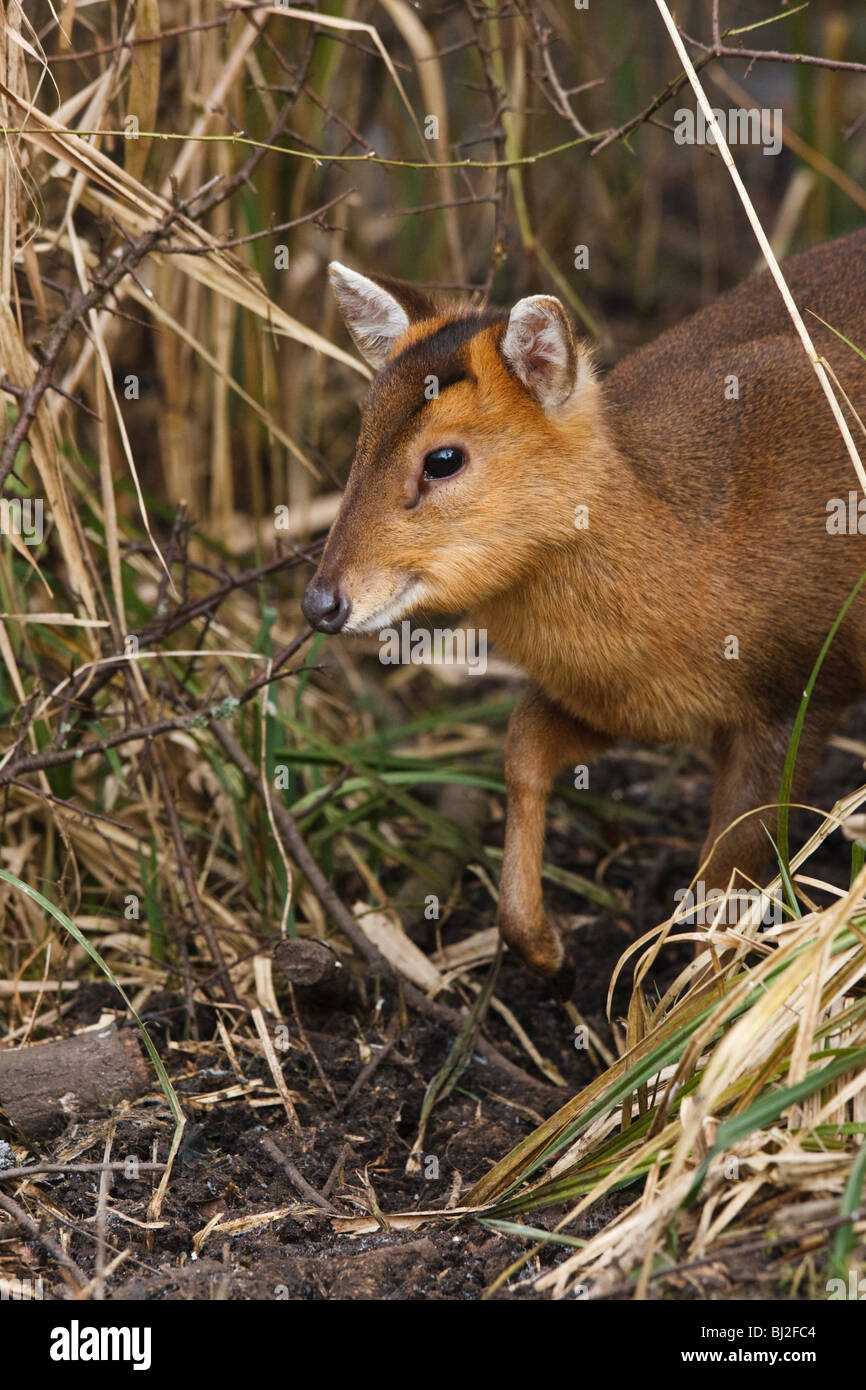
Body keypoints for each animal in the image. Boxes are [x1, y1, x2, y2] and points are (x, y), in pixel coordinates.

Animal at [302, 231, 866, 990]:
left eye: (444, 458)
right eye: (361, 439)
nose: (321, 602)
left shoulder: (801, 688)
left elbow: (725, 884)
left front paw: (685, 1012)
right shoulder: (613, 697)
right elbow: (522, 743)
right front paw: (543, 947)